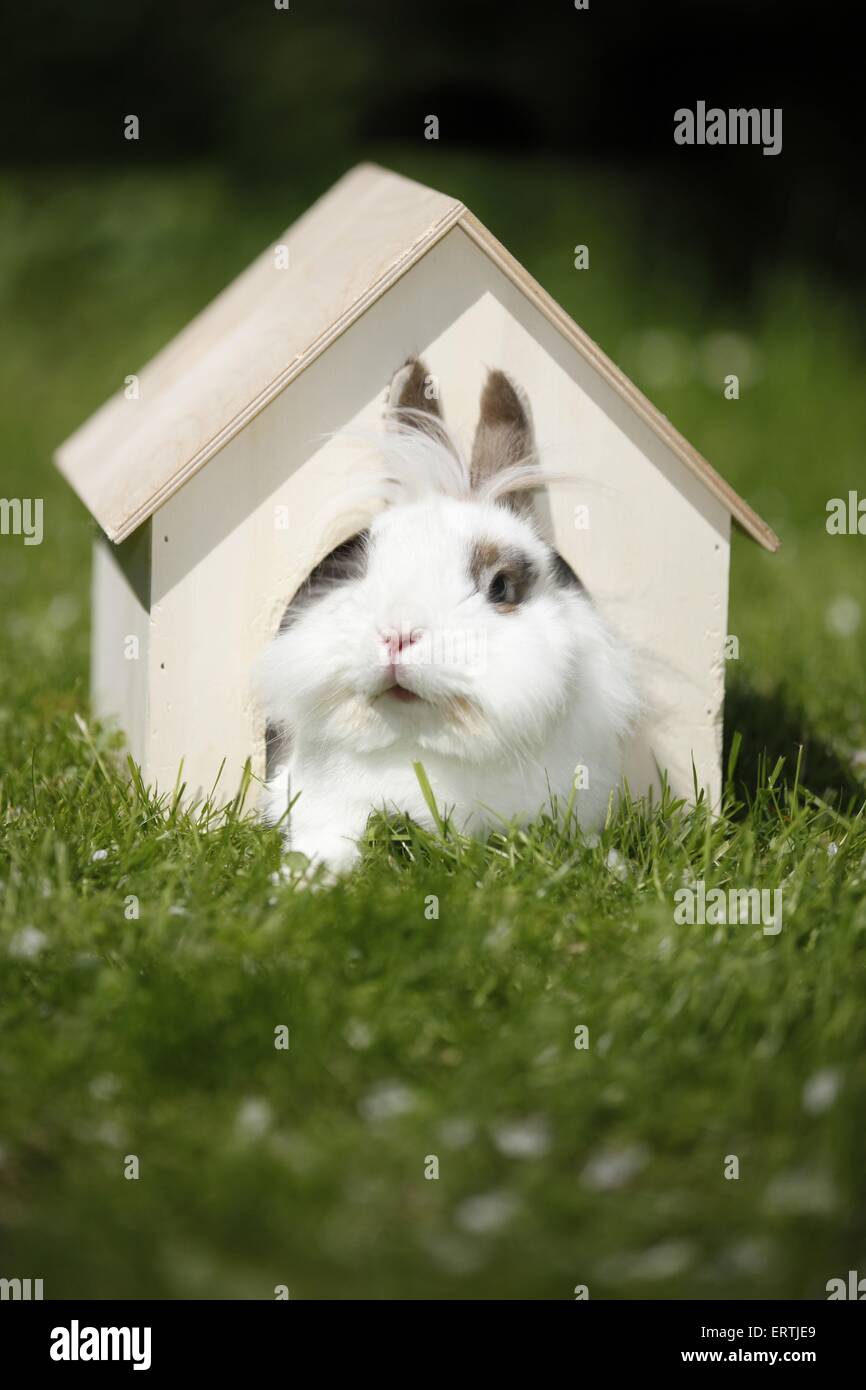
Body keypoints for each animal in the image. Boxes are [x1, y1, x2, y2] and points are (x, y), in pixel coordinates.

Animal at [254, 357, 640, 876]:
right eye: (363, 564)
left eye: (500, 587)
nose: (397, 636)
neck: (417, 742)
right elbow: (327, 842)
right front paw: (303, 878)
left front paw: (613, 868)